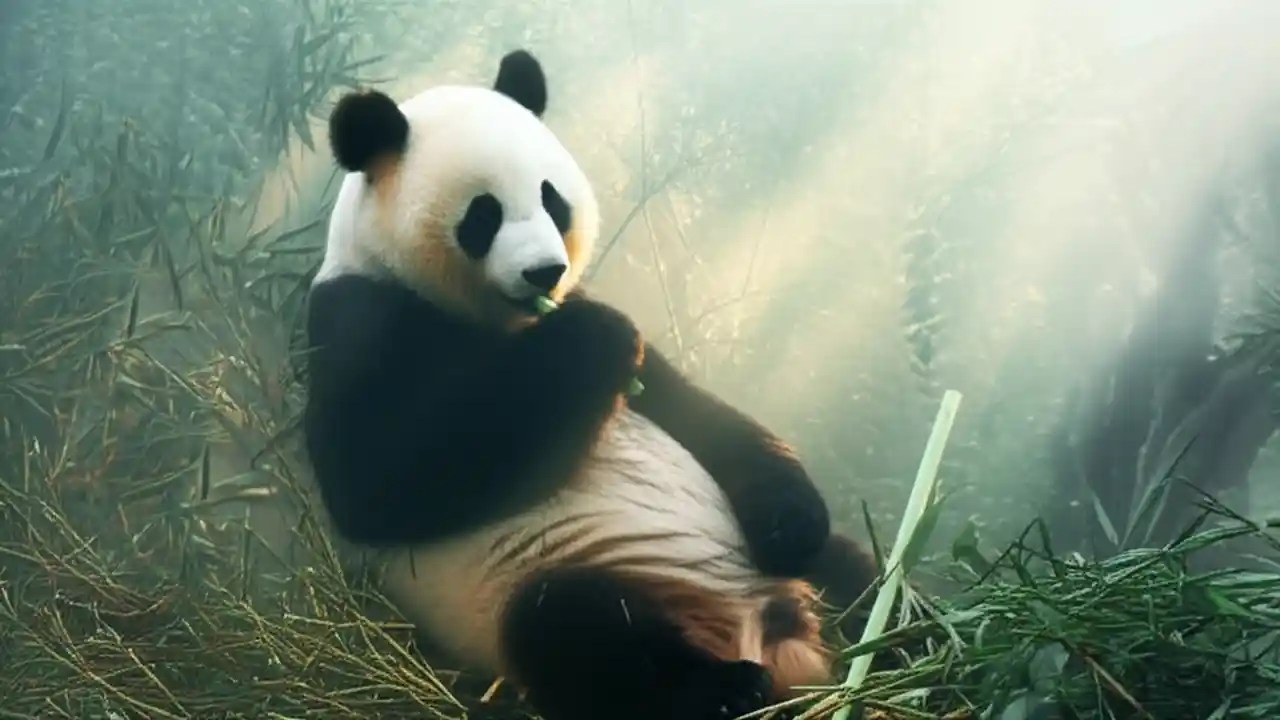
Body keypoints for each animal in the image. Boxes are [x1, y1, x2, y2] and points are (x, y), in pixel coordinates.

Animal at [301, 49, 880, 720]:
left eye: (552, 199)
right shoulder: (358, 319)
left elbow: (702, 416)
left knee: (856, 570)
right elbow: (380, 483)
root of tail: (771, 642)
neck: (507, 321)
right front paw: (596, 337)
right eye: (483, 215)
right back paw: (724, 690)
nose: (545, 270)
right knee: (578, 634)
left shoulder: (621, 342)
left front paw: (789, 523)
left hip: (788, 579)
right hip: (566, 576)